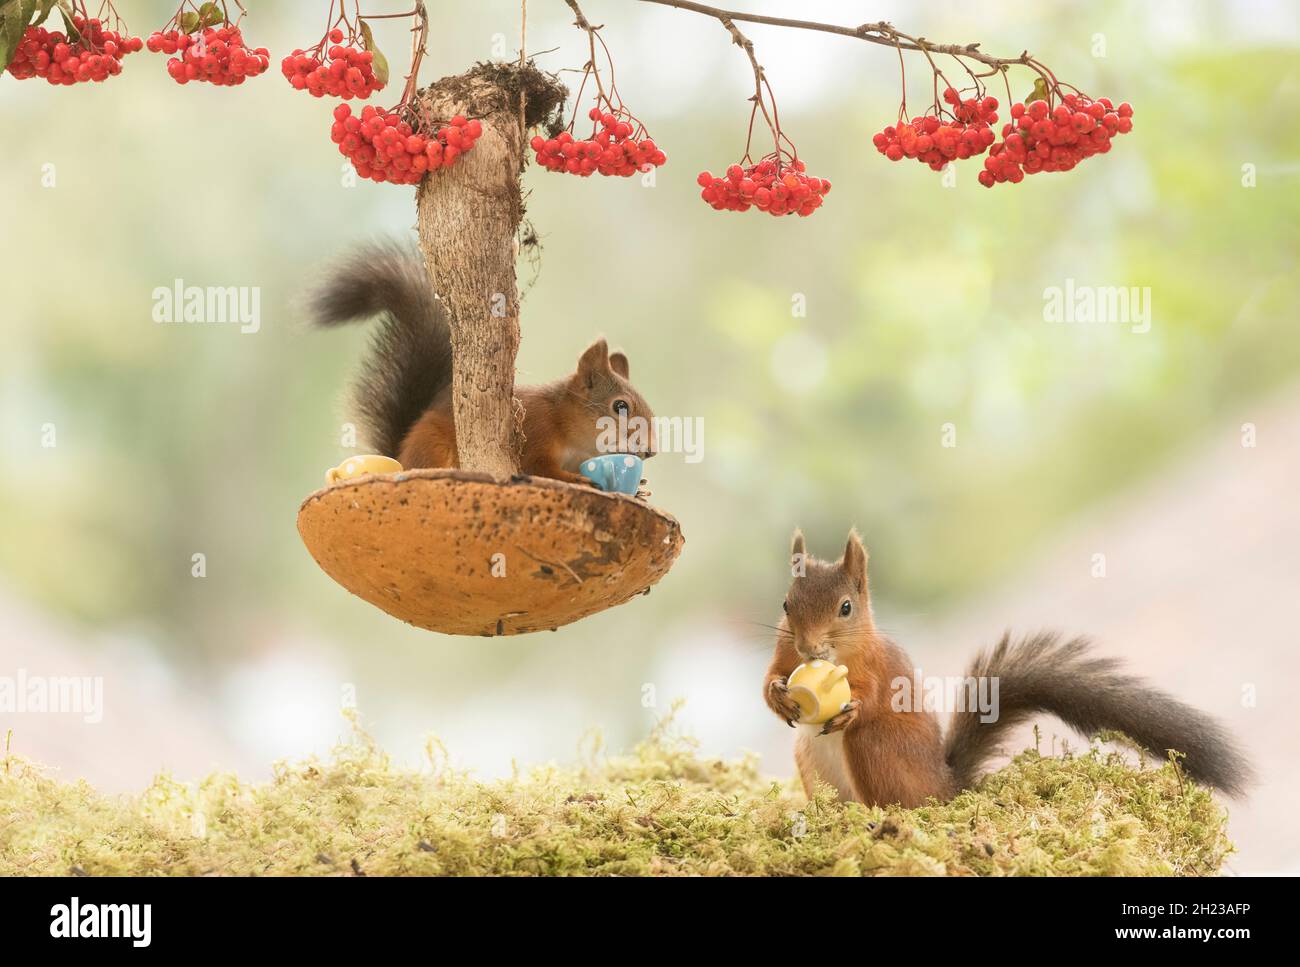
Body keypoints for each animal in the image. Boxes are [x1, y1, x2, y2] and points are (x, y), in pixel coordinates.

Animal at [307, 240, 656, 485]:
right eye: (620, 406)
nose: (651, 451)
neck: (566, 423)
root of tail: (400, 456)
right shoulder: (536, 431)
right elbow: (539, 468)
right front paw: (578, 479)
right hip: (432, 445)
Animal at [764, 528, 1252, 808]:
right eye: (786, 605)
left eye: (846, 608)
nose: (809, 647)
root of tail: (946, 787)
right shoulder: (783, 650)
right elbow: (769, 677)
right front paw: (777, 694)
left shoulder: (880, 668)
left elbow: (877, 697)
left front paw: (853, 707)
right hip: (809, 756)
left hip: (875, 749)